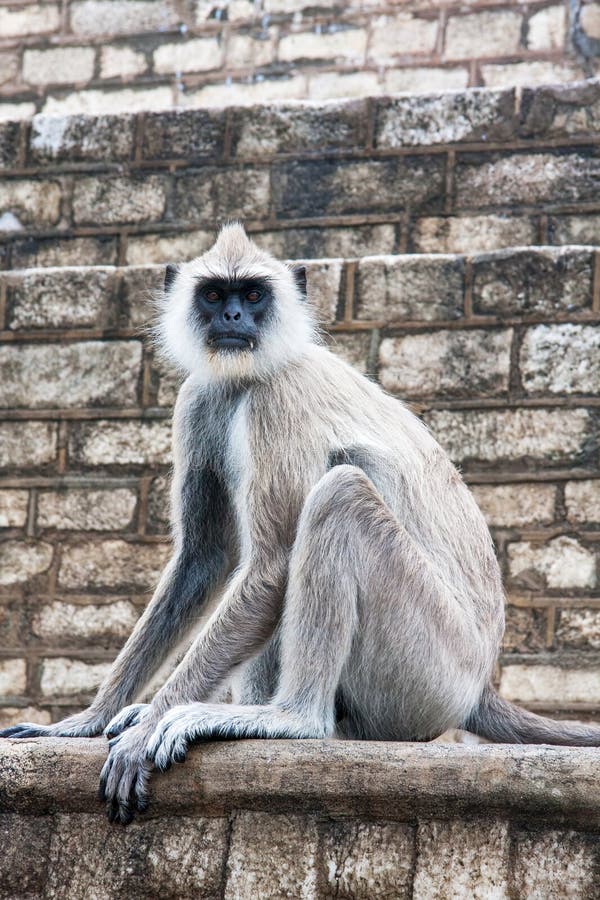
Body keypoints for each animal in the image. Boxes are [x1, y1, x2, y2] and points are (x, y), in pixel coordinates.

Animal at [3, 222, 599, 826]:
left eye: (254, 295)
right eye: (214, 295)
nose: (233, 318)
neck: (248, 378)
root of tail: (479, 683)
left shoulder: (277, 397)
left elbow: (267, 568)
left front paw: (143, 731)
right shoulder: (199, 397)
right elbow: (203, 561)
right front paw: (87, 721)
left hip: (433, 667)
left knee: (338, 498)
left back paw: (290, 720)